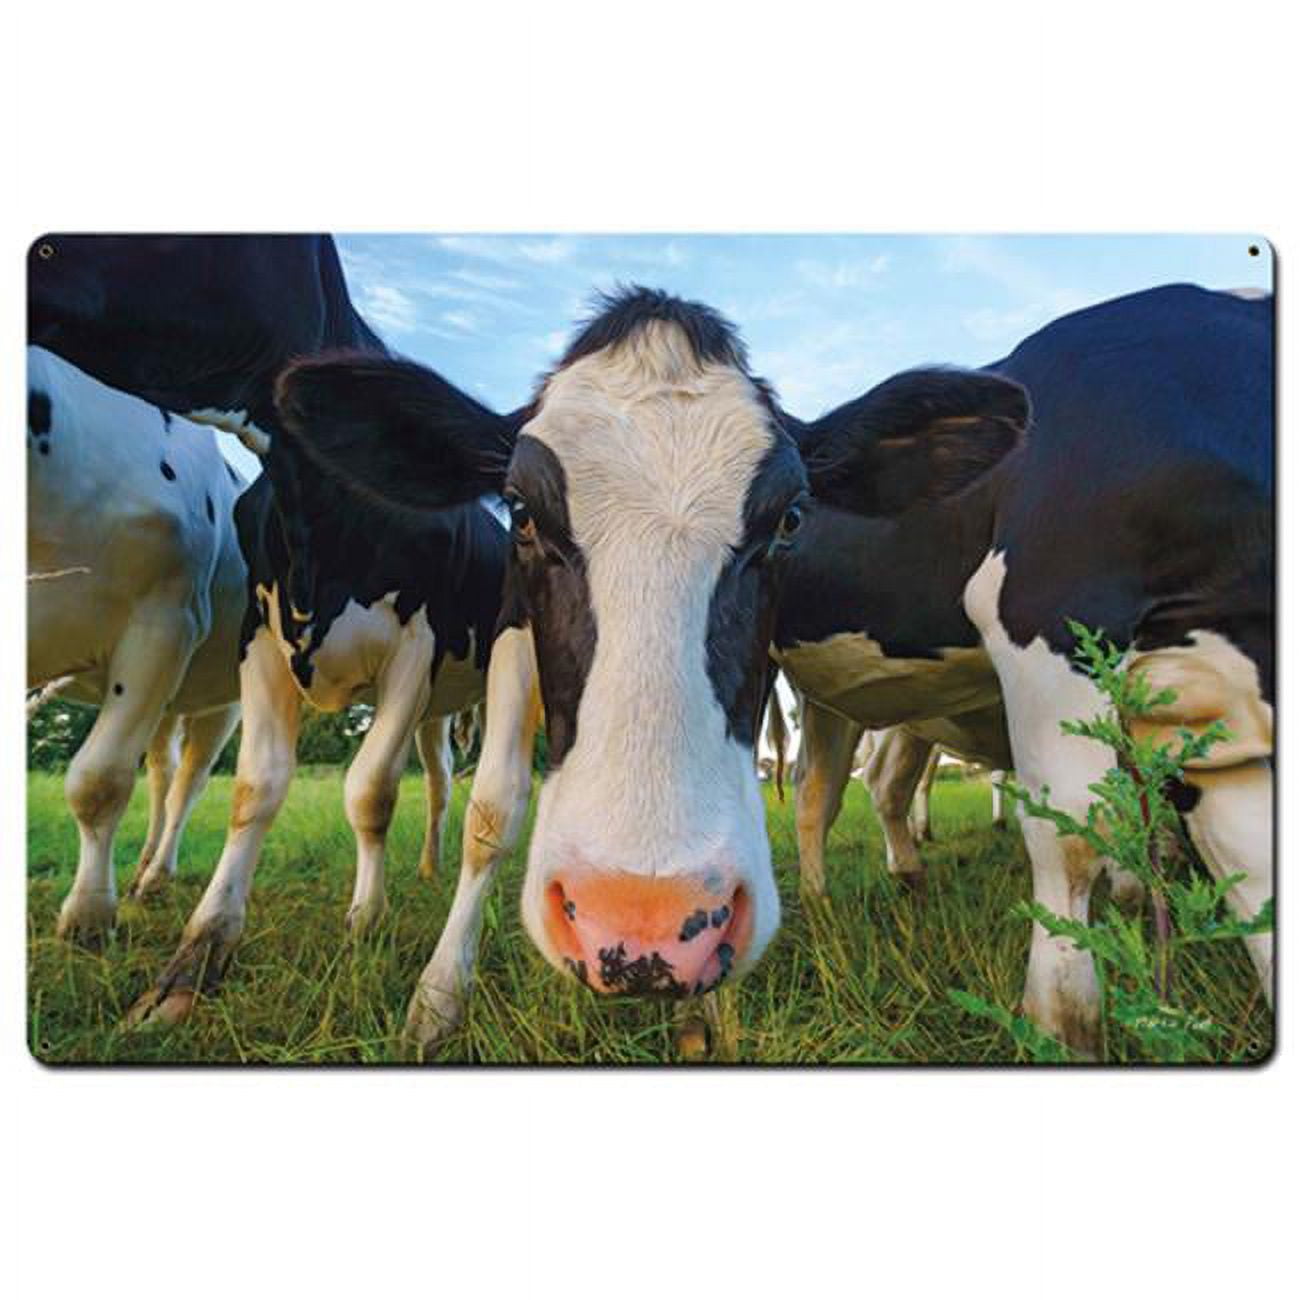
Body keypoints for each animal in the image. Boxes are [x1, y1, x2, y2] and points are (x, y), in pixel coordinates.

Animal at [28, 346, 245, 940]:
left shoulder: (164, 621)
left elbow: (98, 782)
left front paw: (87, 917)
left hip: (222, 695)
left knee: (188, 782)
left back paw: (155, 877)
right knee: (163, 775)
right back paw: (144, 865)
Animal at [276, 283, 1272, 1058]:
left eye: (792, 518)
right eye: (519, 512)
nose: (640, 927)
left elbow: (1225, 867)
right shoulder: (1043, 603)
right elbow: (490, 817)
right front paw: (436, 1002)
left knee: (833, 790)